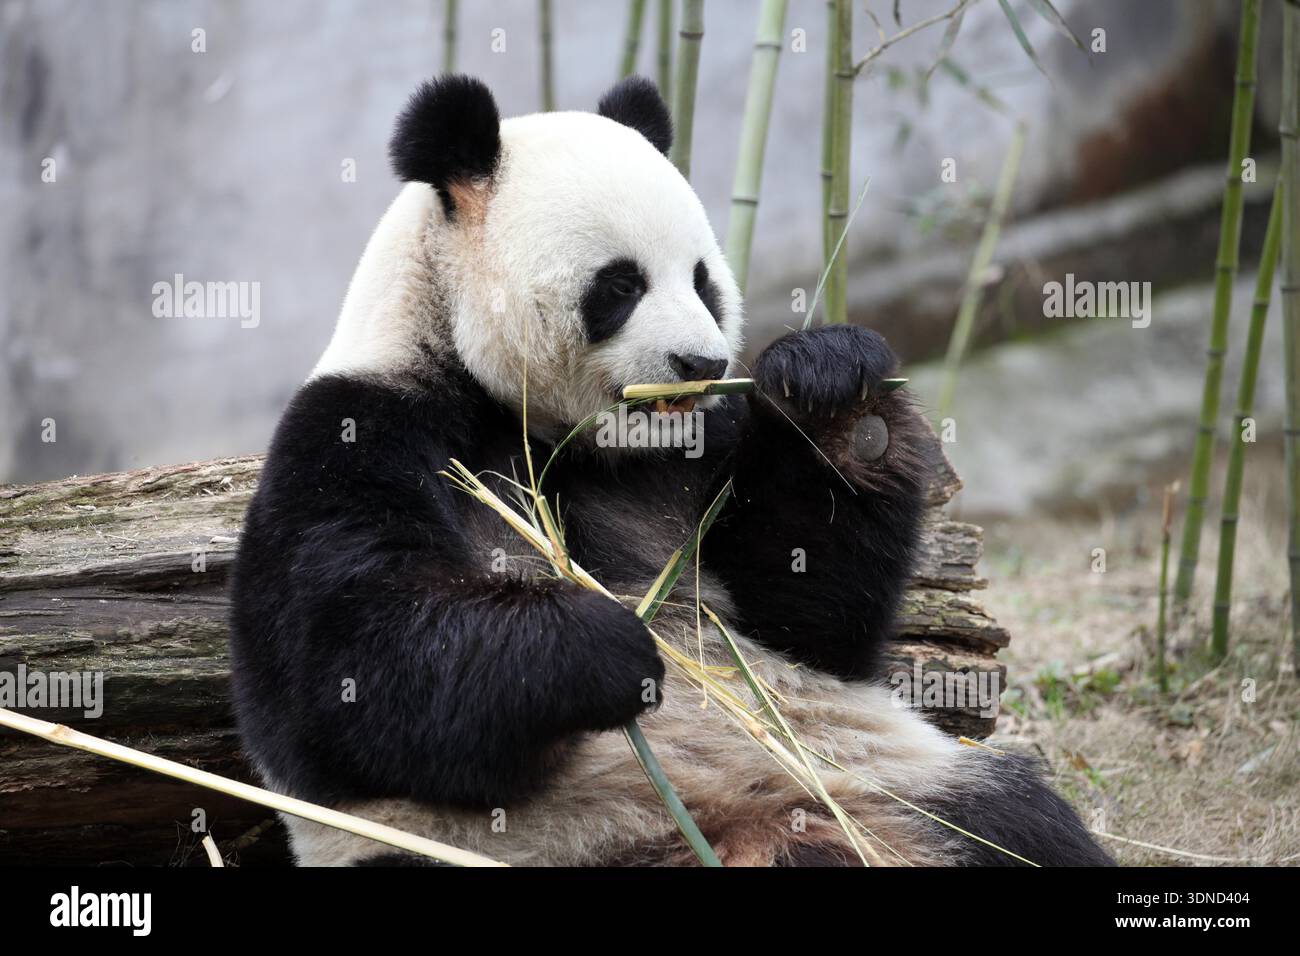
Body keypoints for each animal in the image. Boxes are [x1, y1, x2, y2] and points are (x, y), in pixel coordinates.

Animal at [229, 74, 1112, 867]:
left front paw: (832, 392)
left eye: (702, 279)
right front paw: (602, 648)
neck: (548, 429)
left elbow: (811, 619)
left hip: (879, 784)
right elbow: (343, 675)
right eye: (620, 285)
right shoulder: (359, 433)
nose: (702, 363)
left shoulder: (697, 452)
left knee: (1011, 822)